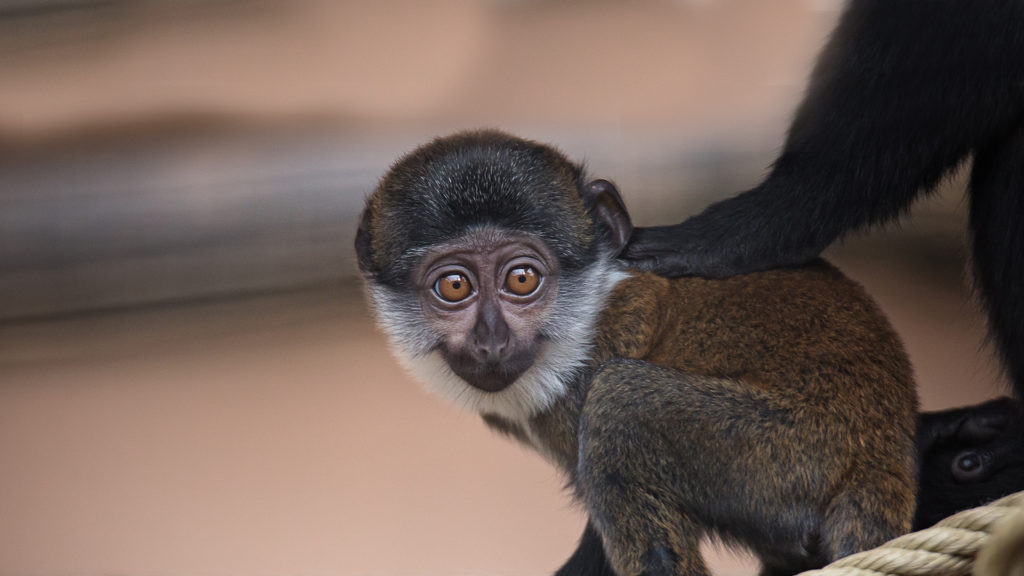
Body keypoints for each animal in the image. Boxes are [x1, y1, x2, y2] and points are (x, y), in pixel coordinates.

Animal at [356, 130, 918, 576]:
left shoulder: (600, 358)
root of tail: (881, 451)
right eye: (454, 286)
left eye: (522, 279)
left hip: (790, 453)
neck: (588, 310)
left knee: (621, 403)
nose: (491, 339)